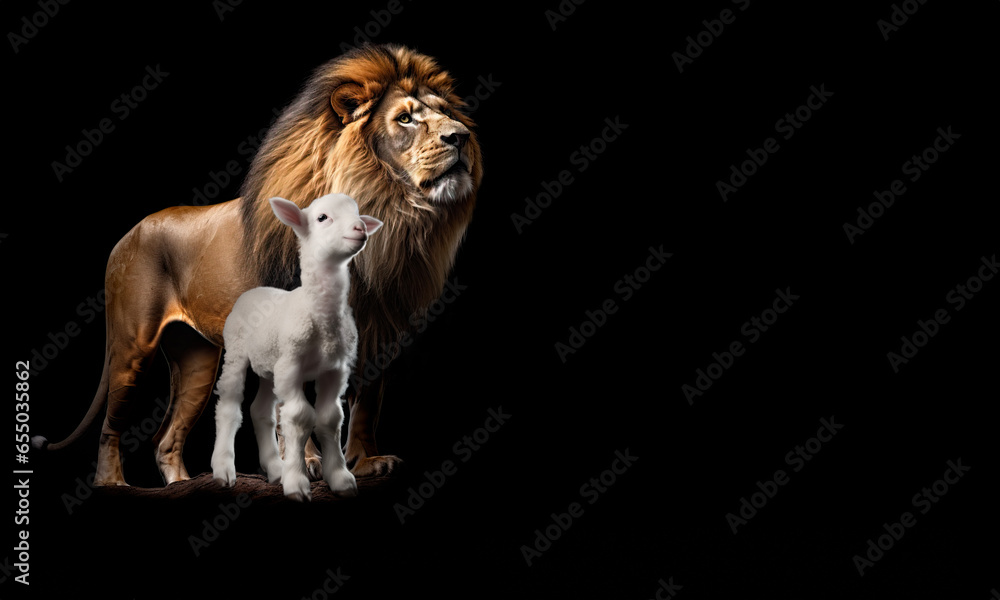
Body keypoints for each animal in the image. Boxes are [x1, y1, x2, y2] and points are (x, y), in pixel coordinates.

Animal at [211, 193, 382, 501]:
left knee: (260, 410)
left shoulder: (335, 369)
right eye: (322, 218)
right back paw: (224, 470)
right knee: (230, 406)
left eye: (358, 213)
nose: (360, 228)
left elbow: (330, 418)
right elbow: (299, 417)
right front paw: (297, 483)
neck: (319, 315)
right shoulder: (292, 365)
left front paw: (340, 479)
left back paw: (275, 469)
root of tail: (253, 291)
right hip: (237, 352)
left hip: (270, 364)